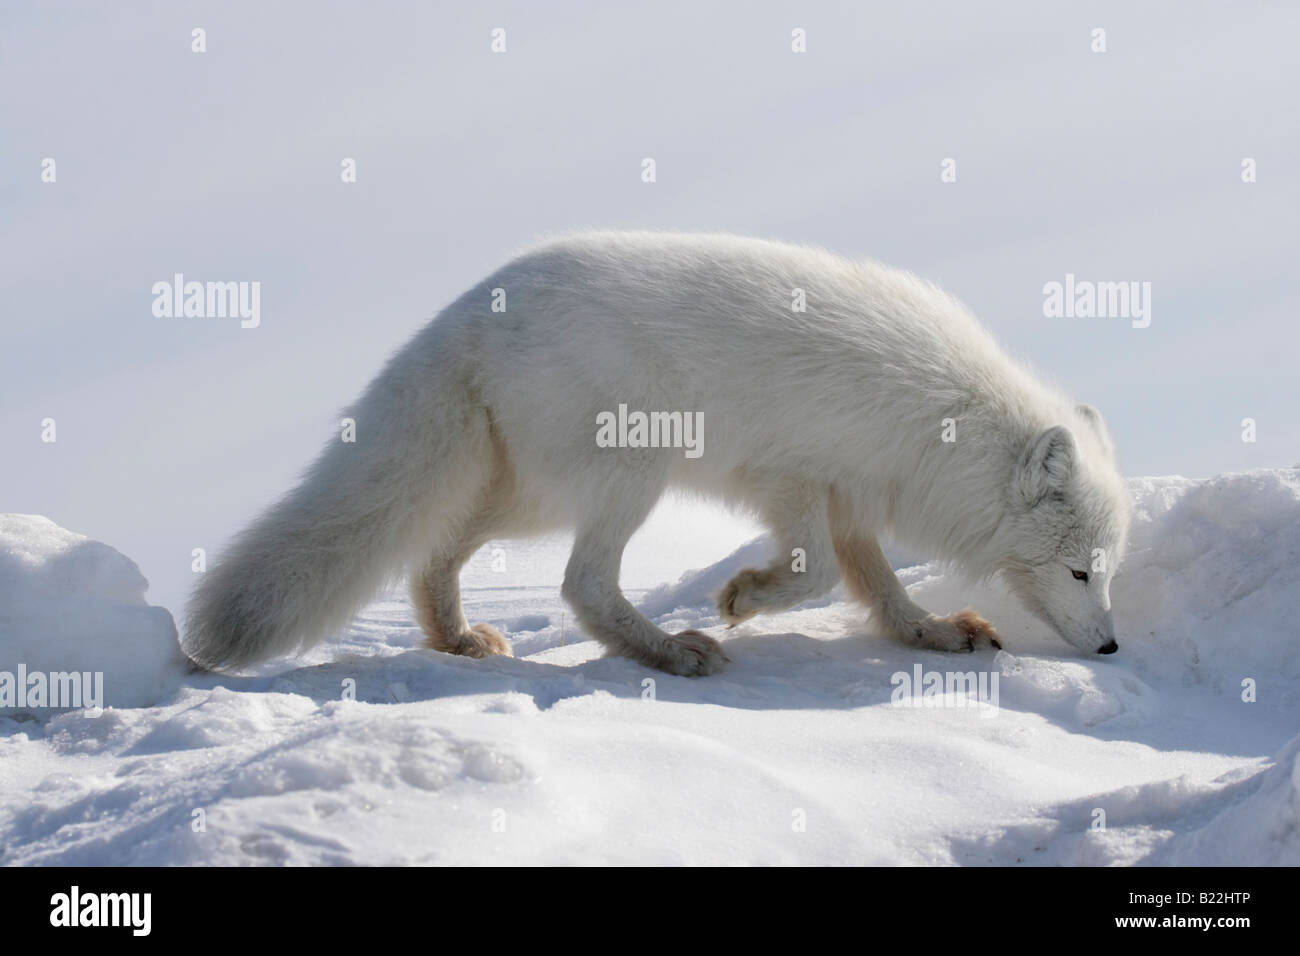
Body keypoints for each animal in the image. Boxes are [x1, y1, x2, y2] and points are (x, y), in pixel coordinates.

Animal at [184, 231, 1131, 677]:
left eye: (1107, 572)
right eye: (1080, 572)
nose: (1114, 648)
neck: (947, 417)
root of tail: (466, 313)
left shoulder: (848, 493)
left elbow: (877, 586)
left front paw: (932, 633)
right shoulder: (791, 476)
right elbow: (817, 573)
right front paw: (742, 598)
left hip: (524, 493)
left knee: (436, 550)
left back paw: (455, 639)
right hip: (628, 475)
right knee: (581, 585)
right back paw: (673, 653)